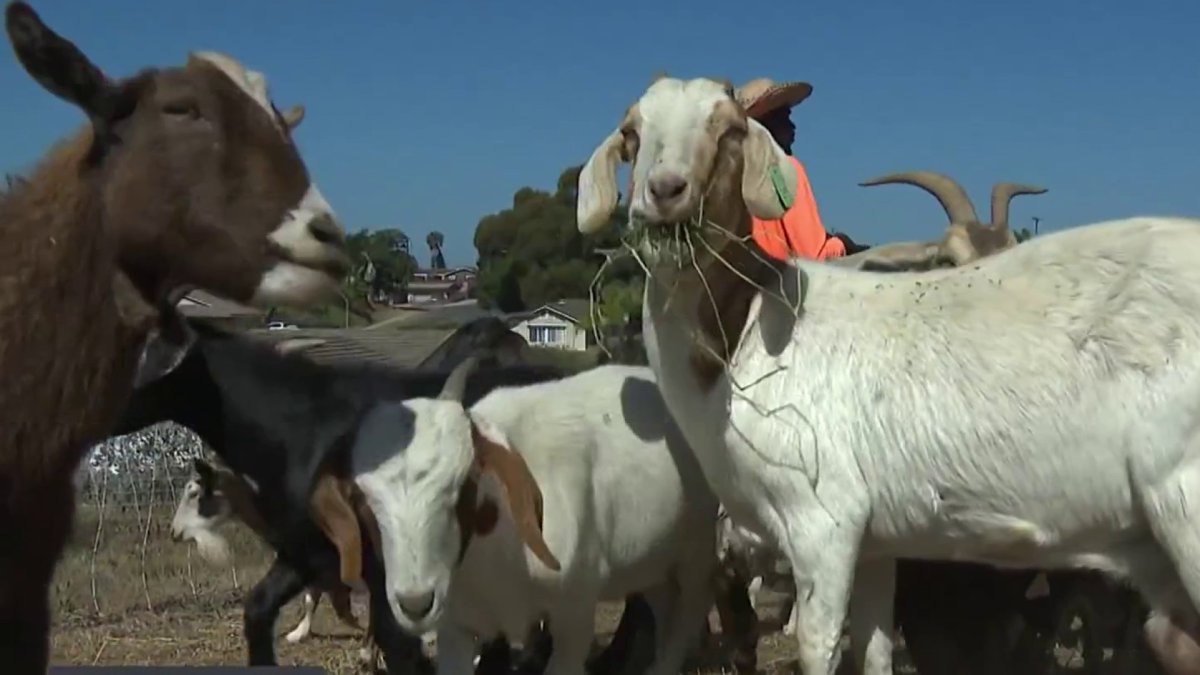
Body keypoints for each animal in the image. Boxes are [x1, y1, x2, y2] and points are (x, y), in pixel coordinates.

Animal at [347, 357, 720, 675]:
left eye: (464, 481)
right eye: (365, 499)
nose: (415, 604)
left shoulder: (574, 612)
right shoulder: (456, 626)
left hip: (697, 551)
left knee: (690, 609)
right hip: (652, 559)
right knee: (663, 604)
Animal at [576, 75, 1200, 675]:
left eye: (729, 129)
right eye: (632, 132)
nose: (665, 191)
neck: (743, 332)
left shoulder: (823, 520)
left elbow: (819, 646)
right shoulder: (875, 545)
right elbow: (872, 651)